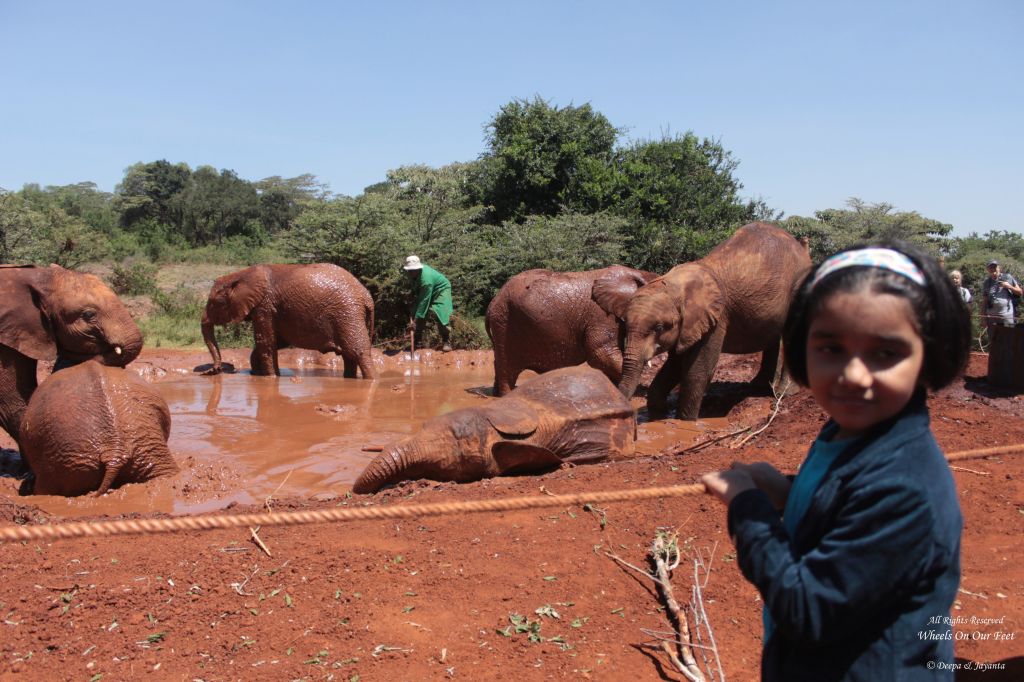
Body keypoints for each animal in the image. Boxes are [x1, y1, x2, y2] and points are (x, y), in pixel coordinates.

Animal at [201, 263, 376, 379]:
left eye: (214, 303)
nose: (211, 371)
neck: (242, 274)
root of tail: (366, 296)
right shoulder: (271, 309)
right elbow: (275, 342)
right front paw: (259, 374)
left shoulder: (264, 306)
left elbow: (265, 342)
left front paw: (270, 378)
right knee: (349, 355)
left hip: (348, 313)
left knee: (358, 352)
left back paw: (371, 380)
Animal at [485, 266, 658, 396]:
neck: (634, 272)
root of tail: (492, 303)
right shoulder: (601, 315)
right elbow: (600, 353)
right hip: (504, 321)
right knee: (507, 366)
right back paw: (506, 395)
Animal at [596, 223, 812, 420]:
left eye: (659, 327)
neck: (676, 286)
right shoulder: (688, 325)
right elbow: (675, 364)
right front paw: (659, 414)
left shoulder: (716, 318)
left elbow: (697, 369)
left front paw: (685, 422)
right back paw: (758, 388)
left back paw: (784, 393)